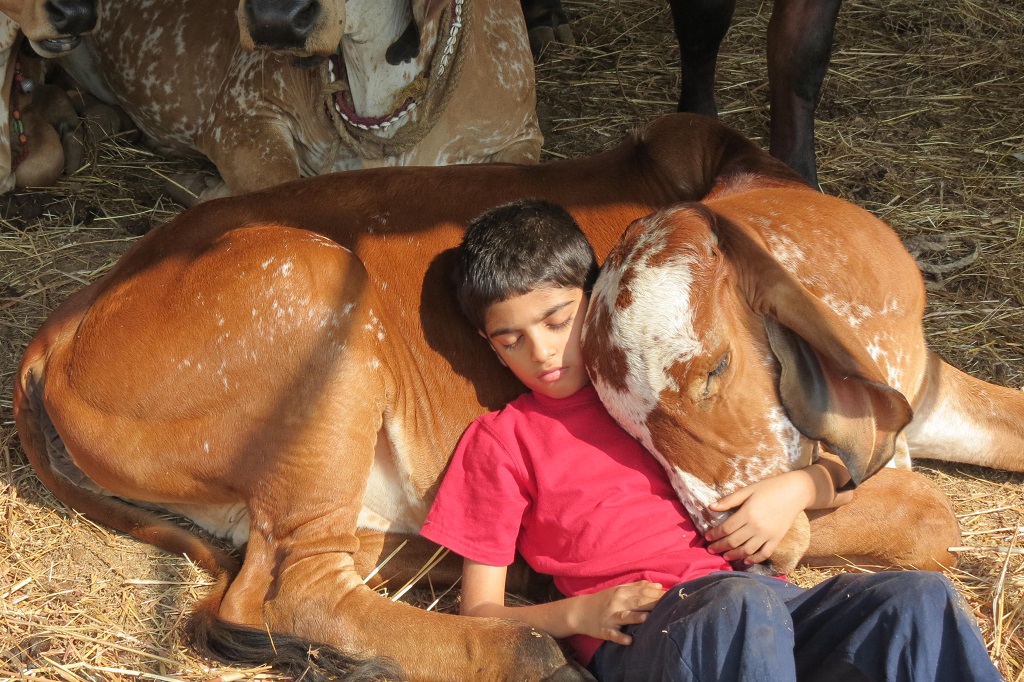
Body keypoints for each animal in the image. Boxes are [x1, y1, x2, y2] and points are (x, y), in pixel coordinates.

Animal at [14, 114, 1018, 681]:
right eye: (623, 418)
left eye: (717, 367)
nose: (726, 529)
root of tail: (62, 317)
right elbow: (928, 513)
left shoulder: (925, 388)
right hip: (312, 287)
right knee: (288, 593)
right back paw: (521, 649)